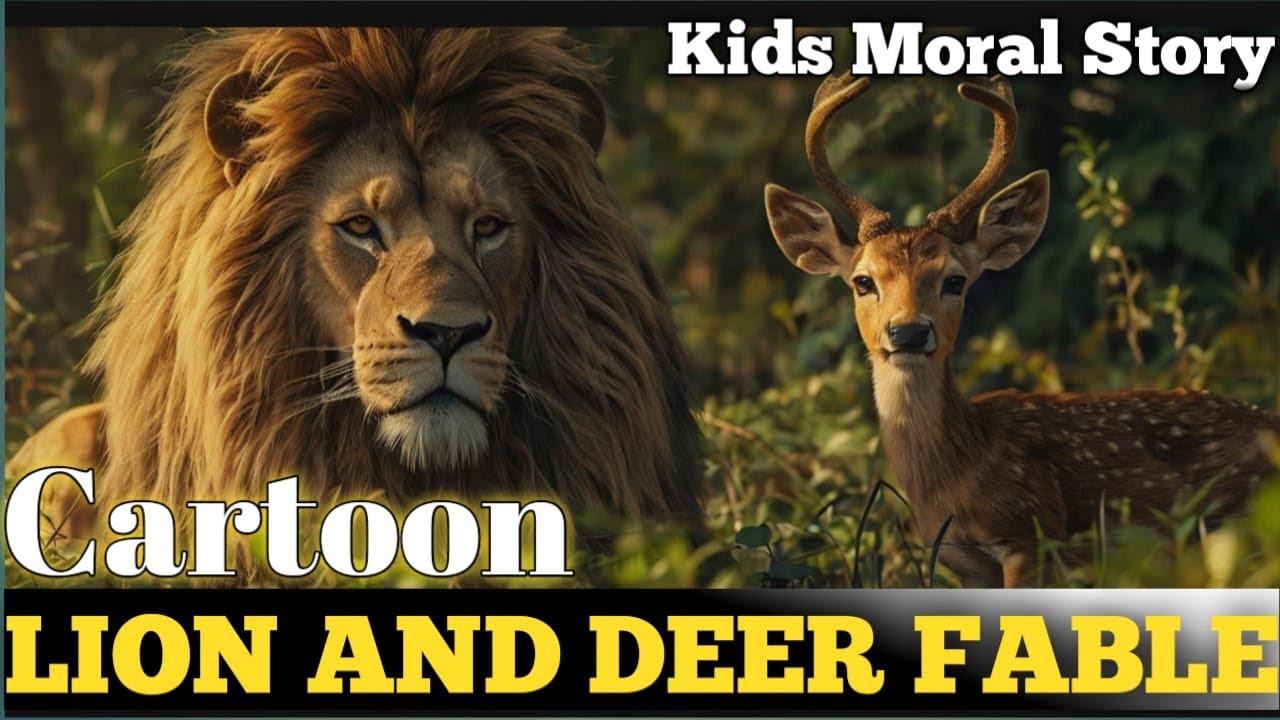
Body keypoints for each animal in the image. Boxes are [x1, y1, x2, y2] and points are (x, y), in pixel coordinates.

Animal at [764, 73, 1280, 587]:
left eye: (955, 280)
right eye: (863, 281)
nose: (908, 333)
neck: (953, 478)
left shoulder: (1030, 537)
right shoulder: (961, 561)